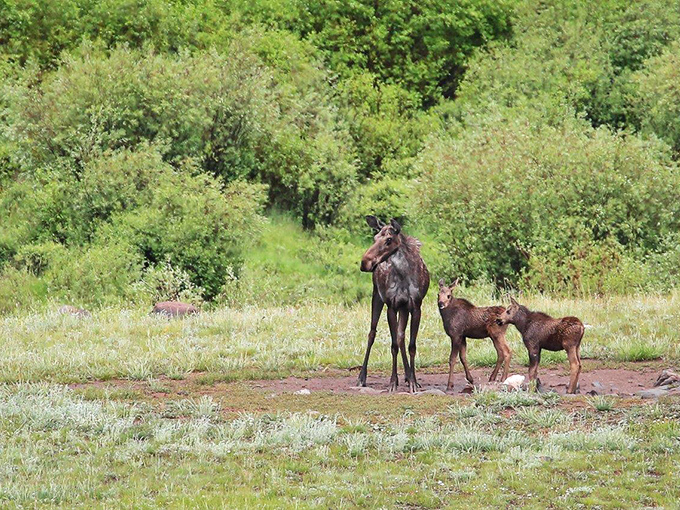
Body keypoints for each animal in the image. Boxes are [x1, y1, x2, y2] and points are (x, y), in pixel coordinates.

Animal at [358, 216, 430, 392]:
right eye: (375, 237)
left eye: (389, 240)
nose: (364, 263)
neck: (404, 274)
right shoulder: (391, 306)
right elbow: (393, 345)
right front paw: (392, 382)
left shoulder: (415, 307)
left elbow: (411, 345)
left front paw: (413, 382)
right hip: (377, 297)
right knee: (372, 333)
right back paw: (362, 377)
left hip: (403, 309)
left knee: (401, 336)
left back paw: (408, 376)